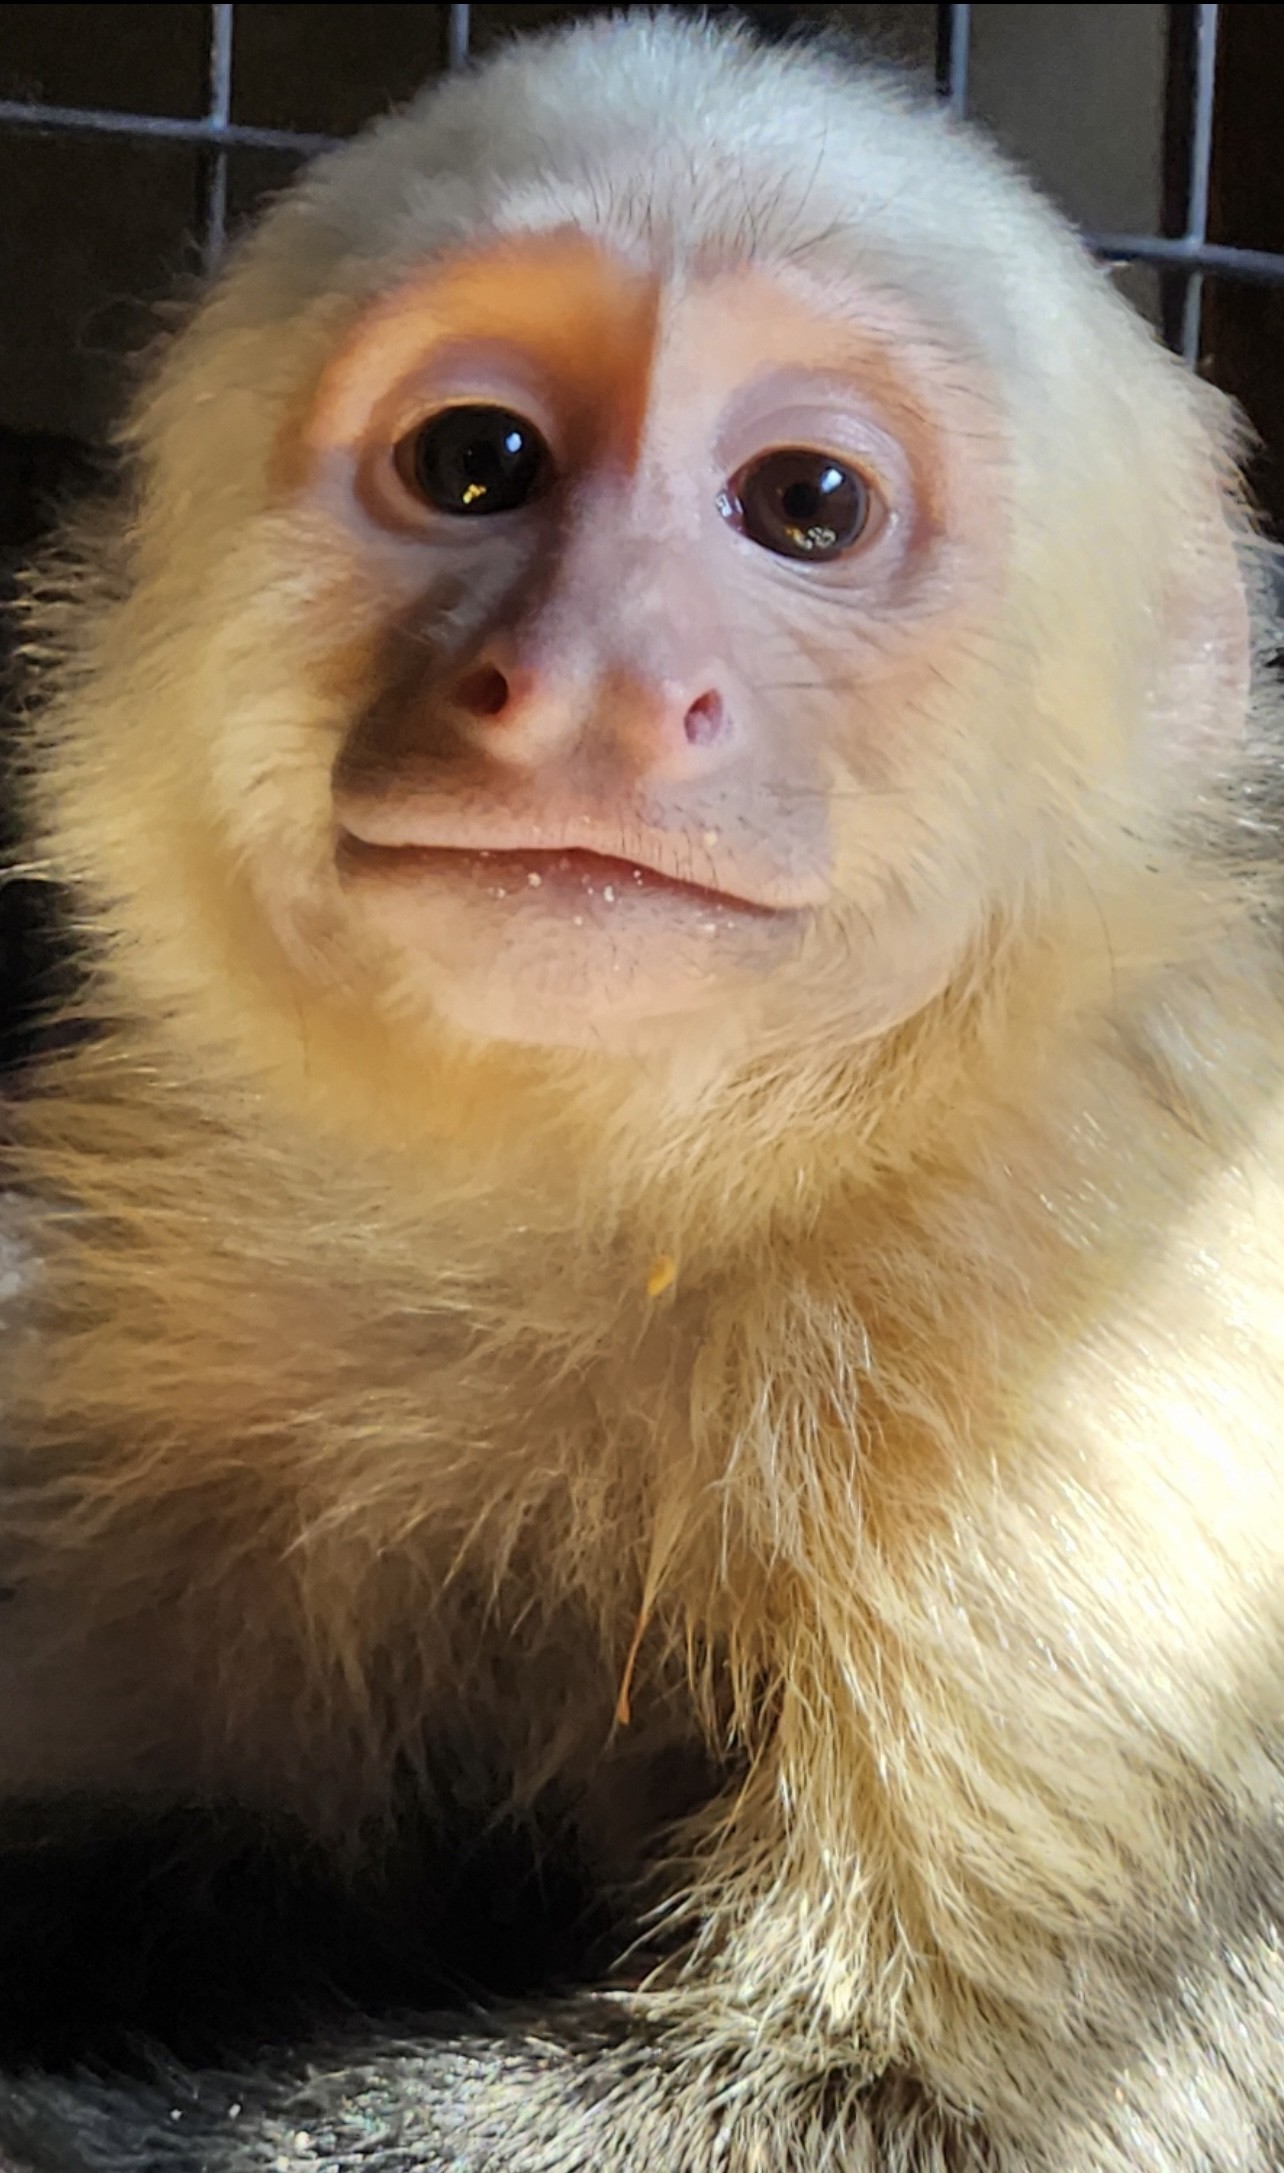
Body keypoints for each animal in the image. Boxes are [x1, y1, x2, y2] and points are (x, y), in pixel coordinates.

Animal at [0, 6, 1283, 2168]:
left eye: (806, 505)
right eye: (477, 465)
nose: (591, 681)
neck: (637, 1218)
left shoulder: (1129, 1356)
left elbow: (917, 2102)